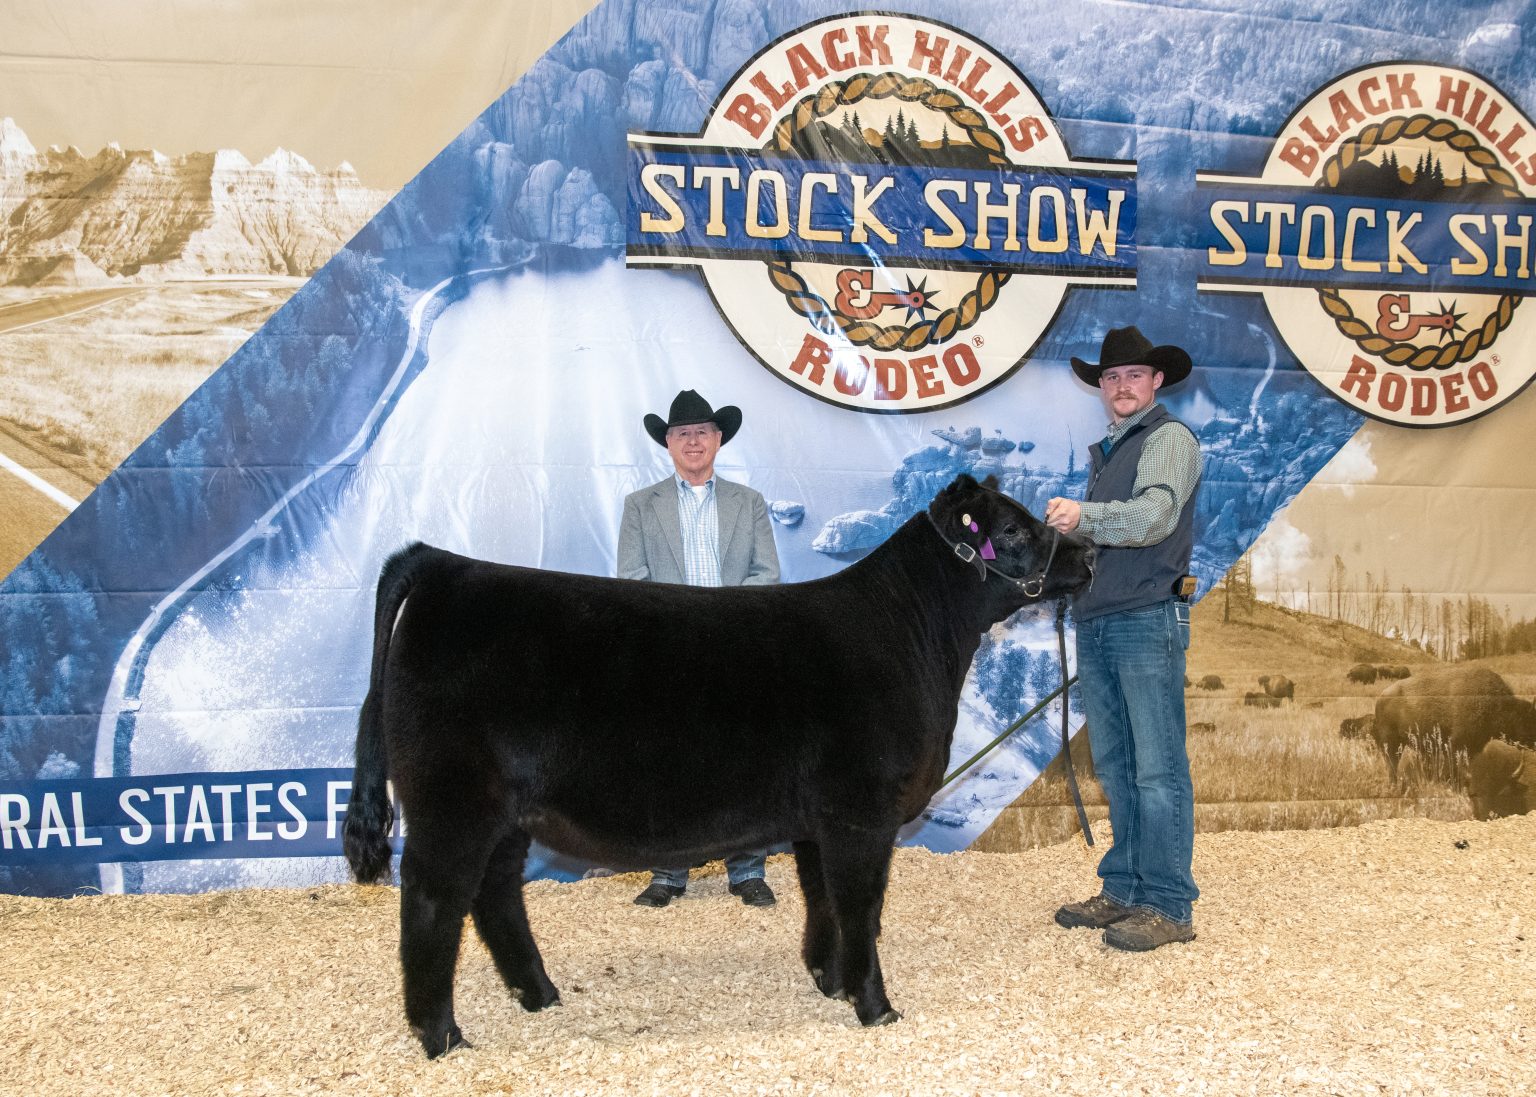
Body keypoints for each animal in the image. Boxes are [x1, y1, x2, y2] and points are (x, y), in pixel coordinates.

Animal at [342, 474, 1095, 1057]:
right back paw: (442, 1036)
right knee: (434, 901)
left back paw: (540, 994)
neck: (912, 633)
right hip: (453, 801)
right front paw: (876, 1005)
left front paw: (829, 981)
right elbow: (862, 903)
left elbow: (824, 898)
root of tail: (445, 564)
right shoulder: (861, 809)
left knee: (495, 893)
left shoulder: (818, 817)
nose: (1087, 552)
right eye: (1016, 528)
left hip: (507, 811)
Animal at [1371, 665, 1536, 786]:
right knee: (1392, 764)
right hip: (1391, 743)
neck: (1497, 706)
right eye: (1527, 720)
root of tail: (1381, 697)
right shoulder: (1457, 745)